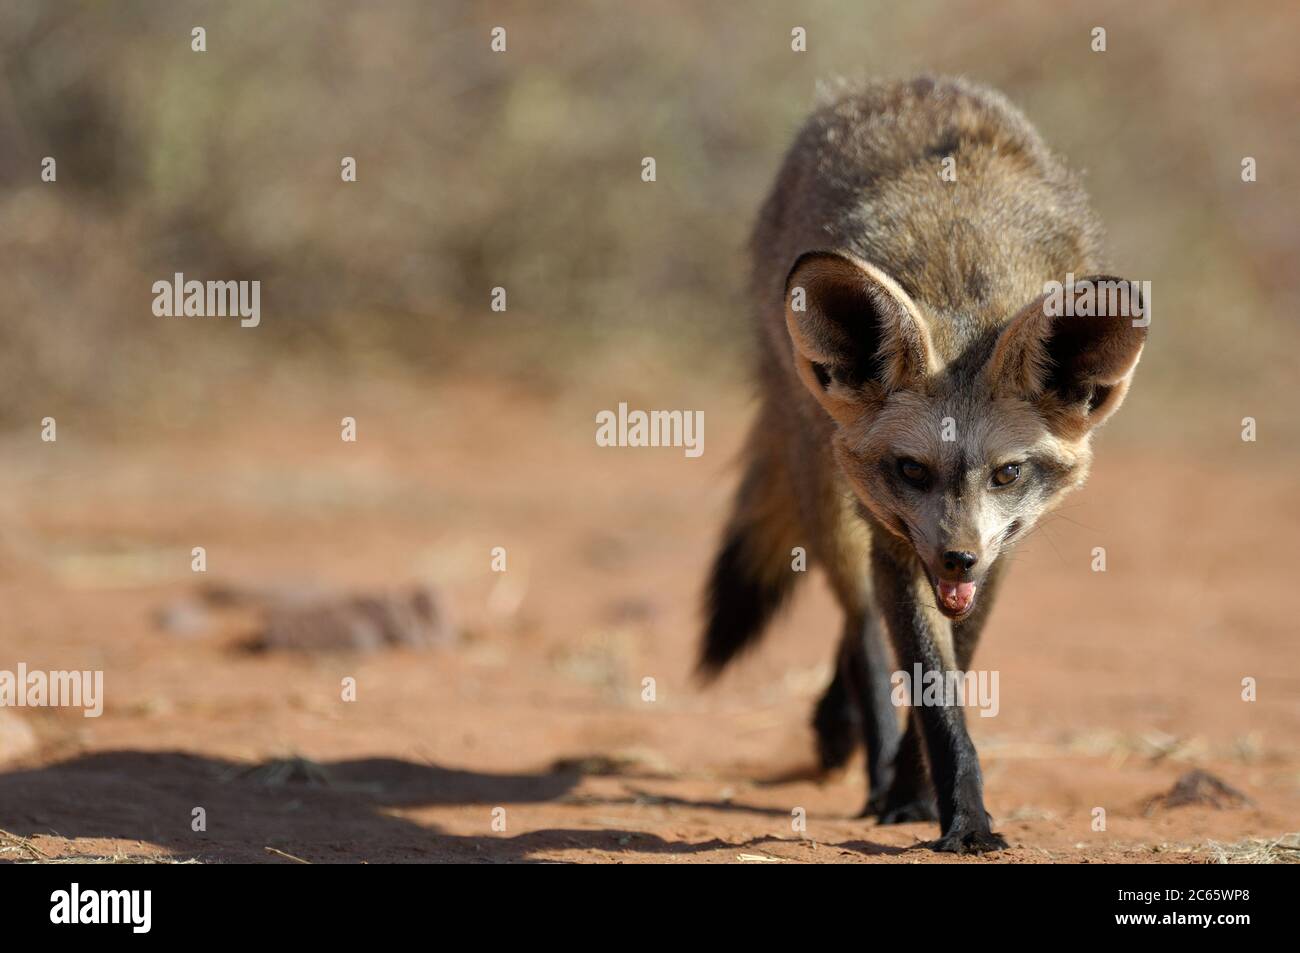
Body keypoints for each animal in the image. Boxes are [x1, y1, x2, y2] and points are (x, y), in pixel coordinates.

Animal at [698, 76, 1148, 853]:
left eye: (1006, 473)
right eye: (912, 469)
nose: (957, 557)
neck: (963, 275)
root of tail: (898, 85)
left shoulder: (1000, 556)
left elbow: (950, 674)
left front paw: (920, 794)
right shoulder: (896, 543)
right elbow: (928, 689)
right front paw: (952, 811)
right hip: (825, 488)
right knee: (857, 629)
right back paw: (860, 747)